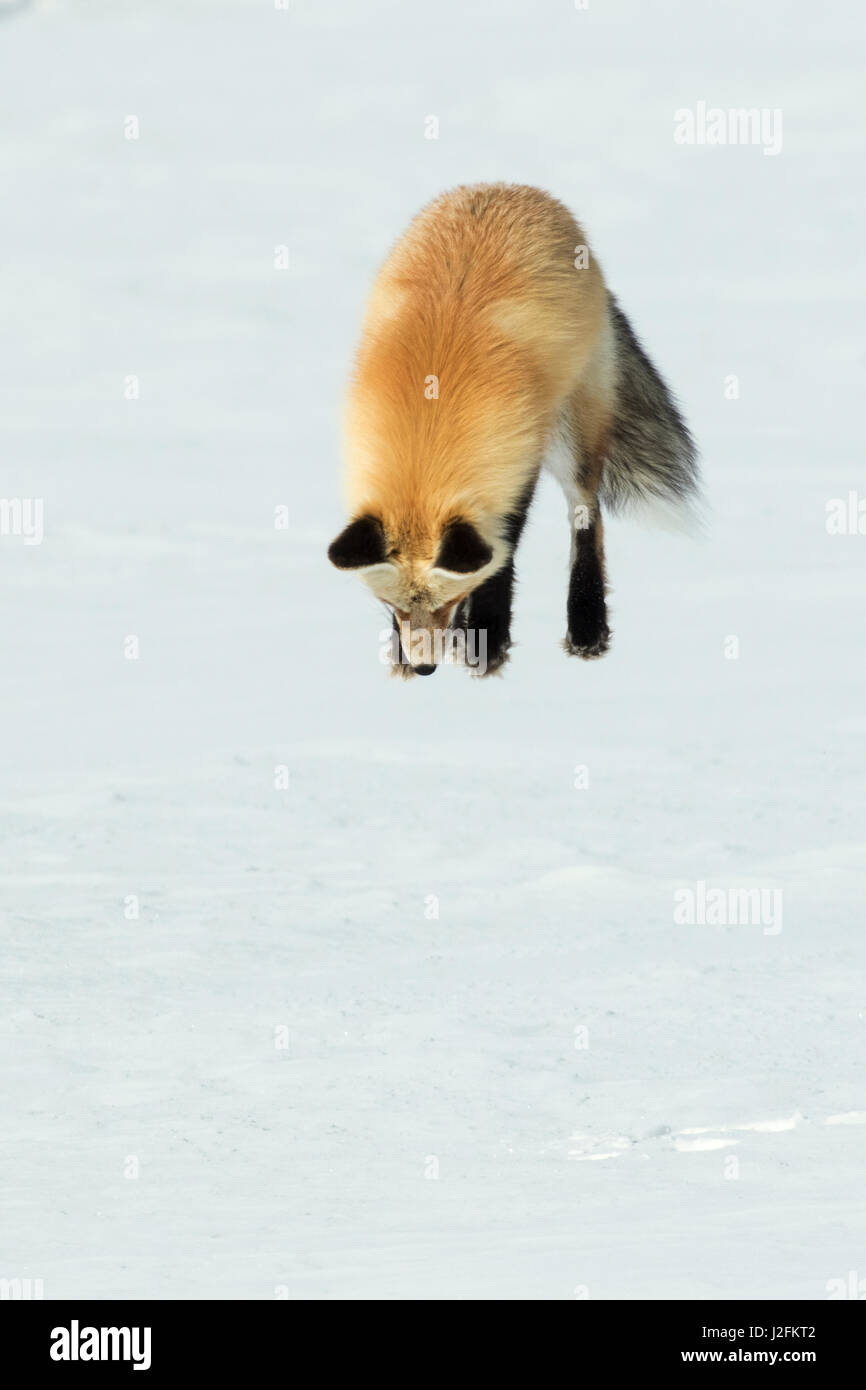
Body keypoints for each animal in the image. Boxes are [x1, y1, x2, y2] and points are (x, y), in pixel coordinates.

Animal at [328, 183, 698, 677]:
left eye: (449, 602)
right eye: (395, 607)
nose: (426, 669)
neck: (430, 423)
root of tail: (510, 188)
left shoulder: (516, 463)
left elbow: (502, 557)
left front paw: (488, 644)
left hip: (570, 436)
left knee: (587, 516)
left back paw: (587, 626)